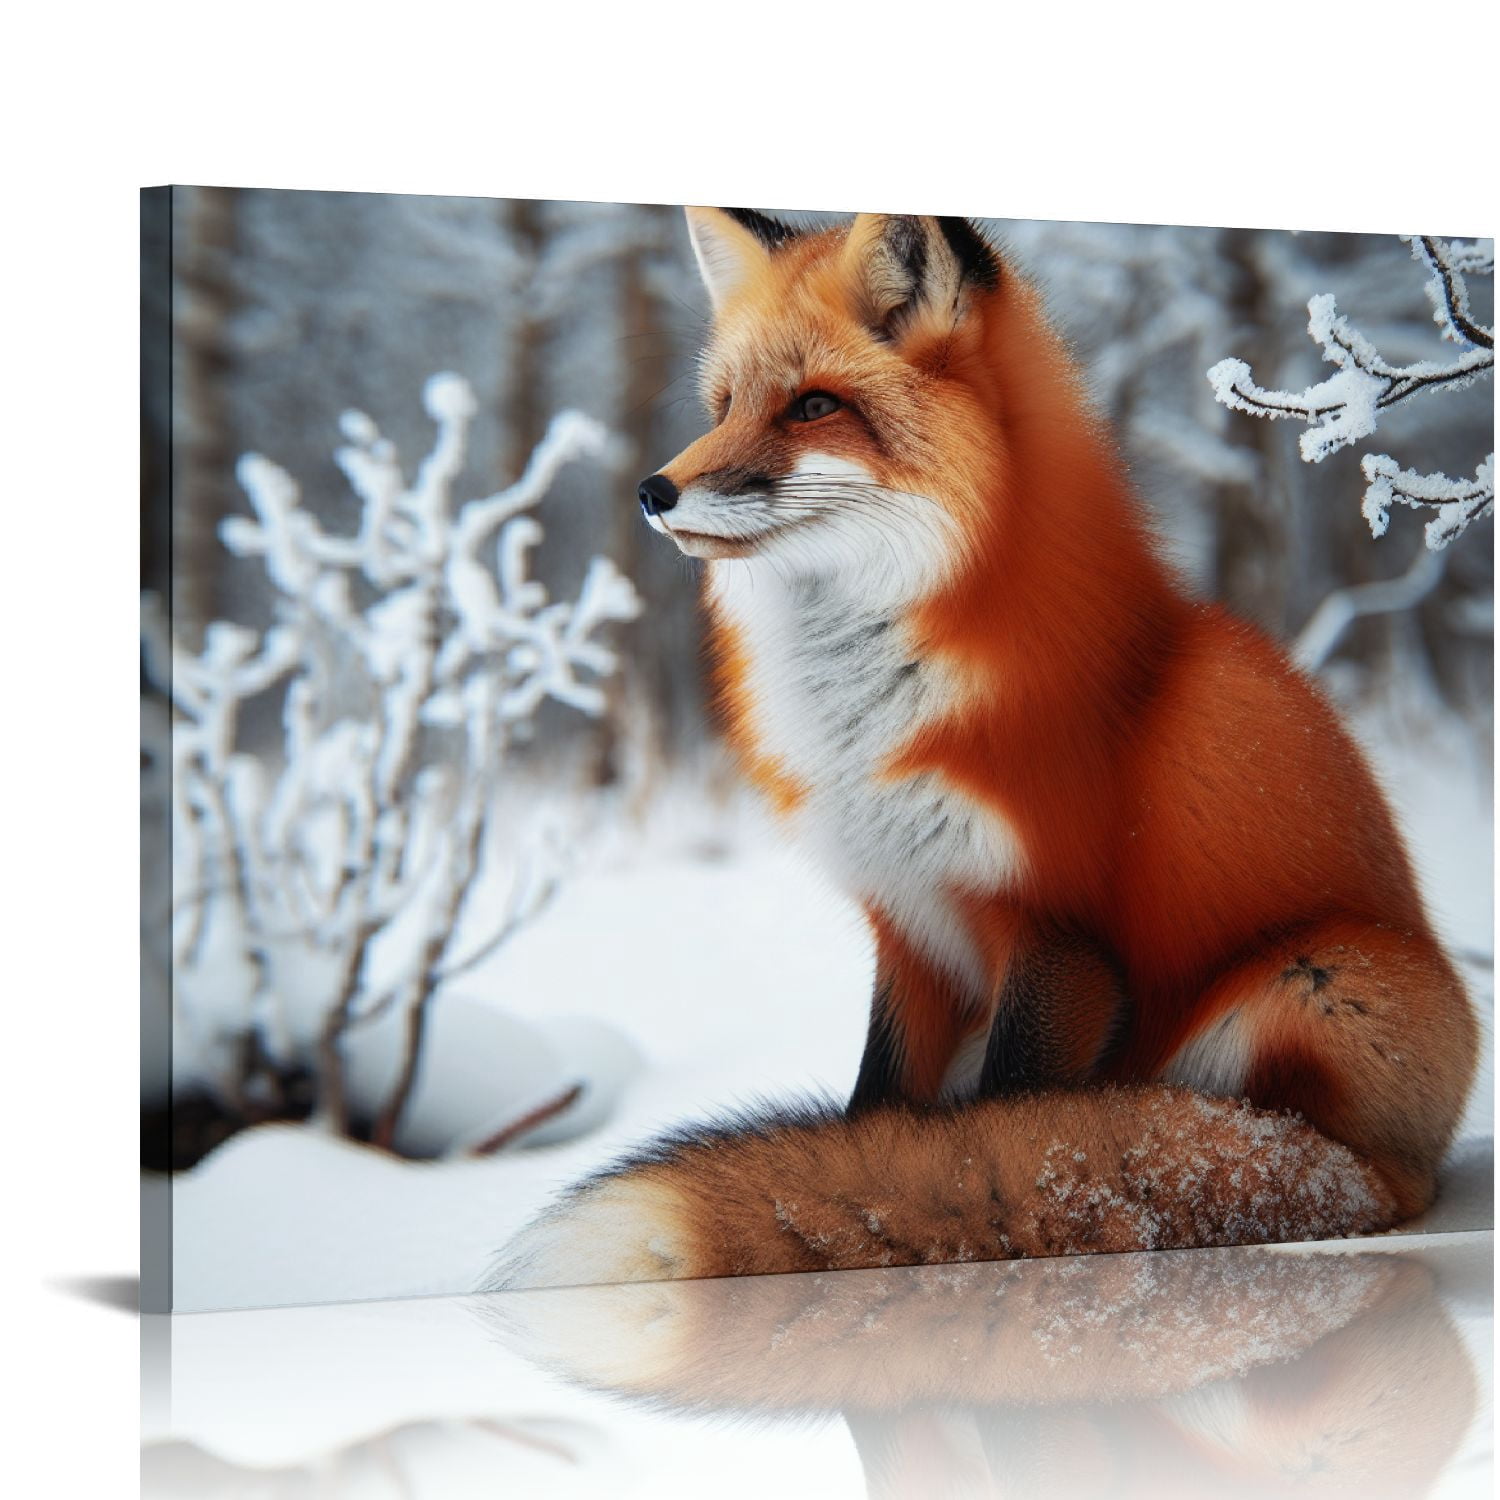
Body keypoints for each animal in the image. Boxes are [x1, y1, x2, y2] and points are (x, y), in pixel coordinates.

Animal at [487, 208, 1478, 1291]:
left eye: (814, 407)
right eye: (724, 405)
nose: (652, 491)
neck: (875, 718)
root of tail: (1413, 1161)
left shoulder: (1060, 939)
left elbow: (997, 1138)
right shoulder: (911, 931)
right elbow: (880, 1112)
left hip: (1318, 976)